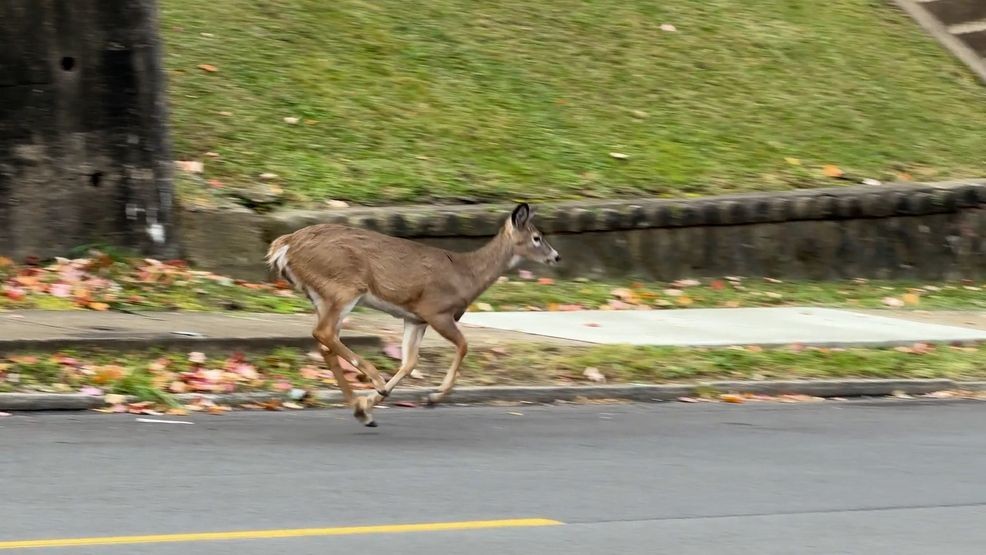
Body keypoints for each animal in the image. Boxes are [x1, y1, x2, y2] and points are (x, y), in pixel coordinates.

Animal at [265, 203, 560, 427]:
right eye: (537, 237)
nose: (556, 256)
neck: (467, 275)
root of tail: (285, 245)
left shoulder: (415, 318)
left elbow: (409, 362)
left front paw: (371, 402)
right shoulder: (436, 310)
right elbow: (464, 345)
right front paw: (433, 396)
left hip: (322, 295)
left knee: (325, 342)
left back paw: (362, 410)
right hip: (343, 286)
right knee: (324, 333)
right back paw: (375, 382)